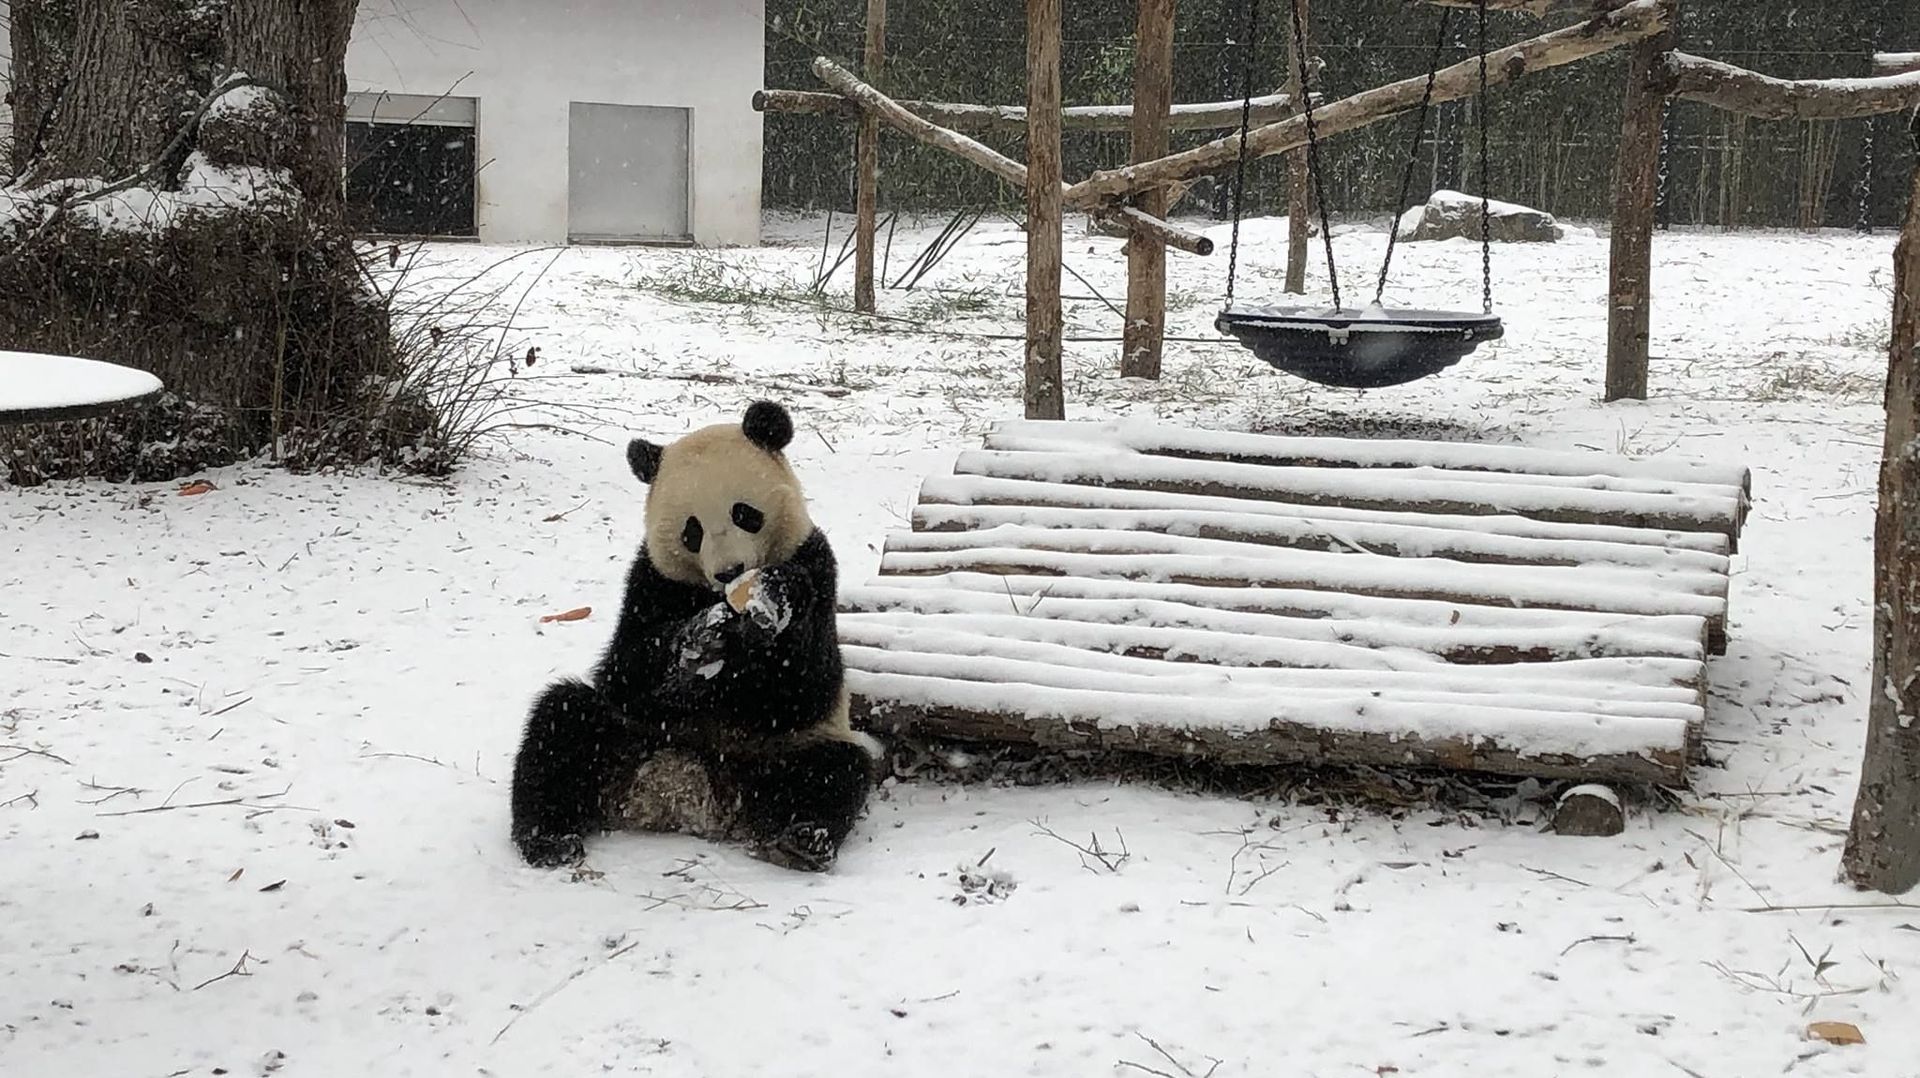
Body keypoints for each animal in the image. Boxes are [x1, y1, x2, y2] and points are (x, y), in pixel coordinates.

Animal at [509, 400, 881, 872]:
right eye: (692, 530)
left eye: (744, 514)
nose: (729, 571)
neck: (717, 596)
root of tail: (687, 793)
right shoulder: (651, 580)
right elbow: (626, 672)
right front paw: (700, 640)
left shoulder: (815, 562)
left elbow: (805, 686)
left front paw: (773, 596)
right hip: (631, 737)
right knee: (562, 724)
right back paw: (549, 839)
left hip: (784, 752)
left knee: (834, 770)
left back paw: (800, 840)